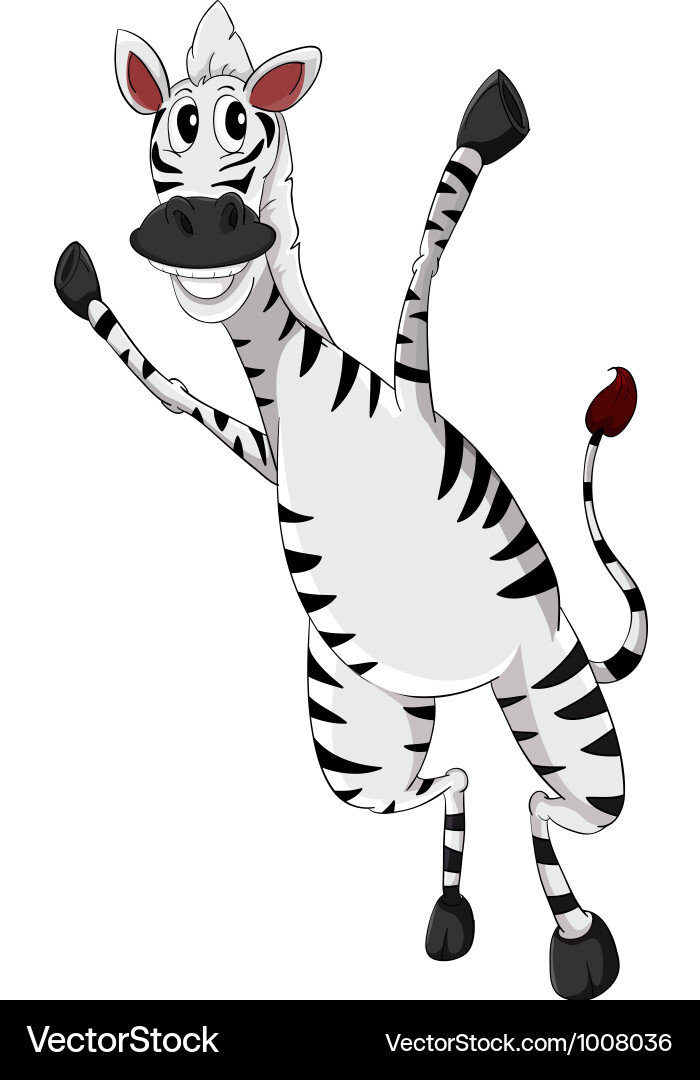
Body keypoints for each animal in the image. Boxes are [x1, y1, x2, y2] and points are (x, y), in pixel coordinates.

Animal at [54, 2, 646, 1000]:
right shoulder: (255, 445)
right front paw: (83, 291)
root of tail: (473, 679)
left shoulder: (413, 381)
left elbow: (426, 252)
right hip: (361, 742)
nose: (199, 226)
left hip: (550, 689)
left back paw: (576, 943)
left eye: (241, 122)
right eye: (171, 128)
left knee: (557, 802)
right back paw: (453, 913)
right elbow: (172, 391)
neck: (300, 396)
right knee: (456, 781)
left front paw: (487, 122)